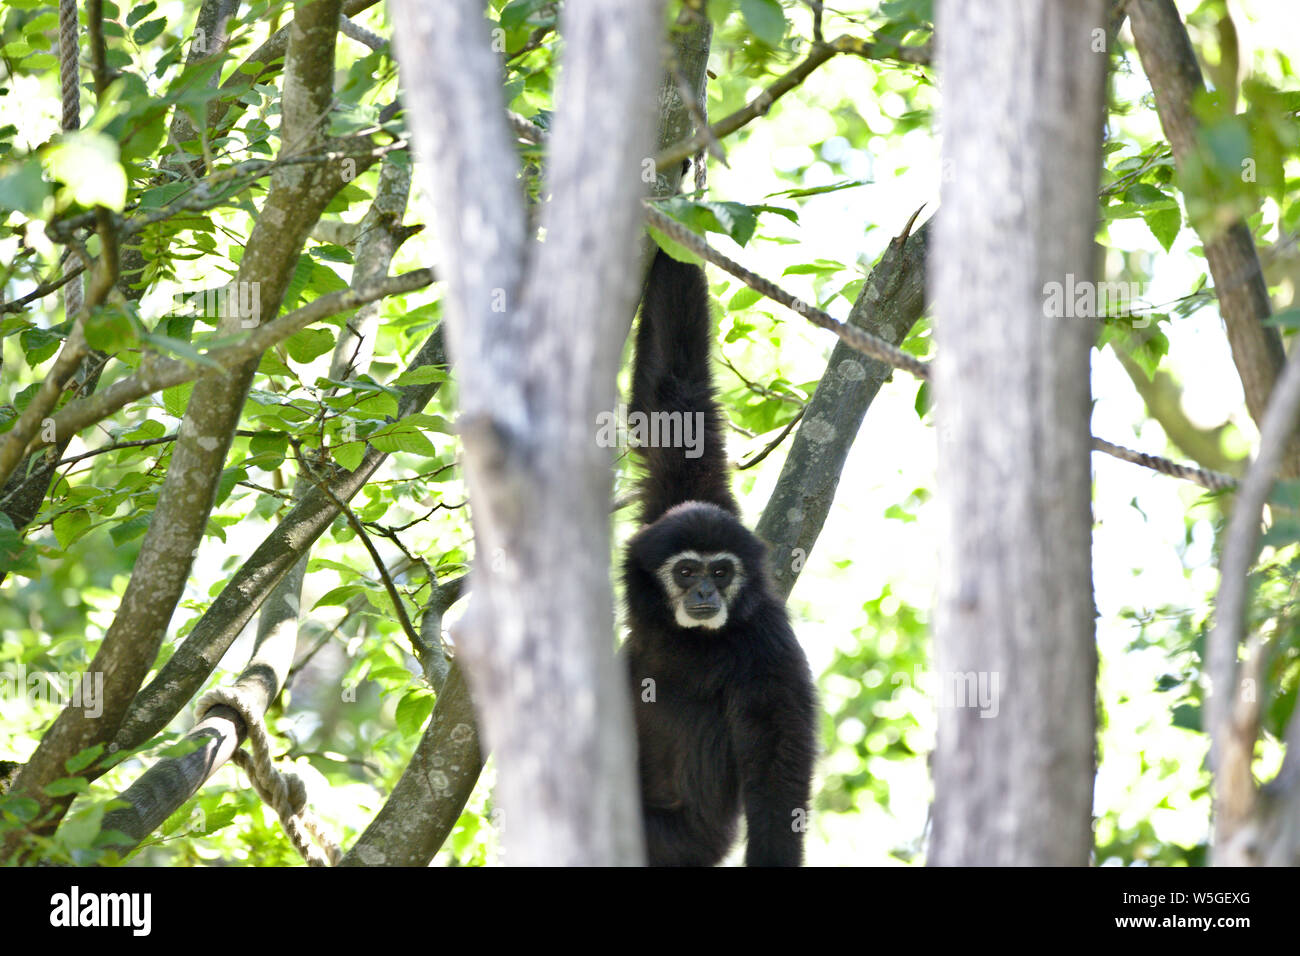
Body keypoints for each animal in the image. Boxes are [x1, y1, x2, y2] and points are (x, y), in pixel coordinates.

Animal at [621, 246, 818, 866]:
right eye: (687, 571)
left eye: (721, 571)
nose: (706, 592)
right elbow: (674, 400)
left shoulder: (766, 644)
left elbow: (778, 771)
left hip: (684, 840)